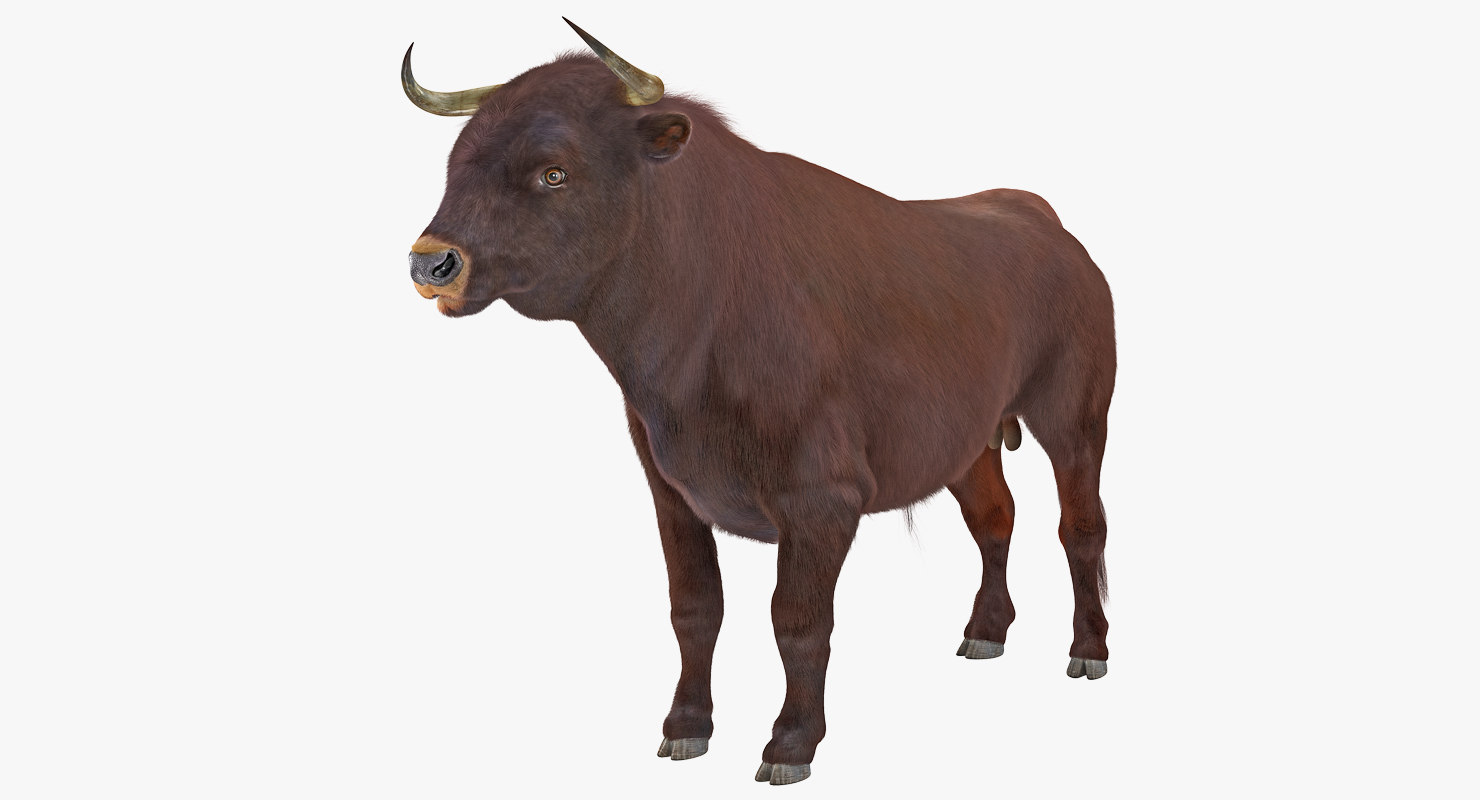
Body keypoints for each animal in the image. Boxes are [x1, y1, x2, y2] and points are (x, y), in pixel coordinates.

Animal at [402, 19, 1115, 785]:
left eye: (554, 171)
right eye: (458, 162)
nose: (431, 263)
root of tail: (1039, 218)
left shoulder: (820, 500)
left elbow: (798, 621)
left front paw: (791, 742)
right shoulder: (672, 492)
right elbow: (695, 608)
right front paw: (686, 726)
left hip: (1075, 420)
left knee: (1080, 527)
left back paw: (1089, 649)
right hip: (968, 439)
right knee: (994, 517)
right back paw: (985, 632)